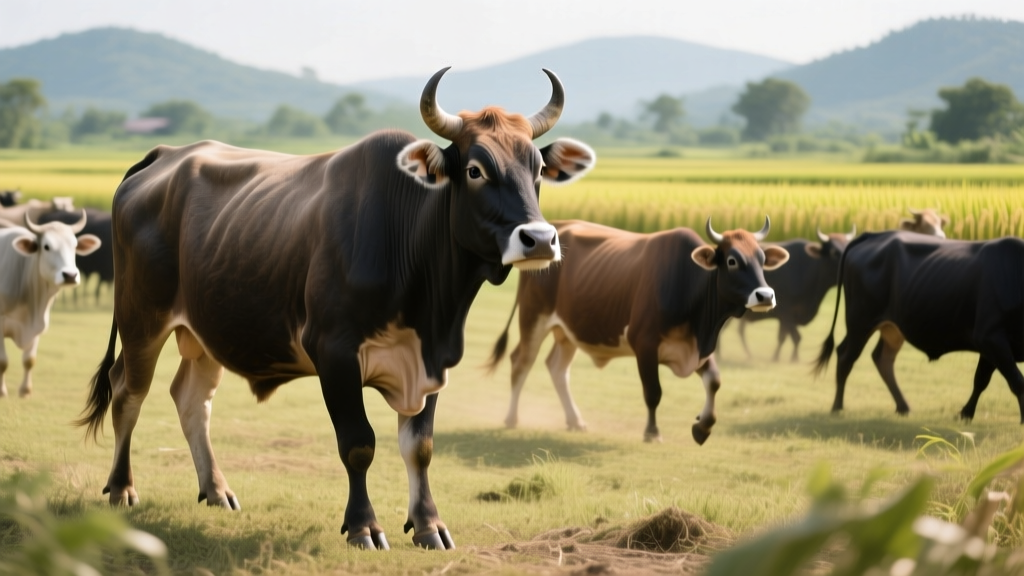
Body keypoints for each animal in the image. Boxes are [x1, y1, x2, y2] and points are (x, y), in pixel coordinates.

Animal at [0, 212, 101, 398]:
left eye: (75, 246)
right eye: (46, 246)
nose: (70, 275)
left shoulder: (37, 325)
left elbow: (29, 360)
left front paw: (25, 391)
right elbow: (3, 361)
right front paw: (2, 392)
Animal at [75, 67, 597, 551]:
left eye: (537, 169)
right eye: (475, 169)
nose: (540, 239)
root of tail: (166, 155)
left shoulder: (433, 361)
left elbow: (420, 447)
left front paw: (428, 525)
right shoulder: (335, 353)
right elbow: (358, 443)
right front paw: (363, 526)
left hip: (204, 330)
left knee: (191, 399)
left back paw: (217, 489)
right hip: (141, 317)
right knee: (128, 392)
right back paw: (121, 488)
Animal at [487, 218, 789, 444]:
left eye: (762, 258)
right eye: (732, 261)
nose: (765, 295)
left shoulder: (697, 347)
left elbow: (714, 381)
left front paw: (702, 427)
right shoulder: (644, 344)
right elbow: (653, 392)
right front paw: (652, 433)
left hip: (567, 330)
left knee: (557, 368)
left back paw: (575, 420)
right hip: (533, 316)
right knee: (521, 361)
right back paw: (512, 418)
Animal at [736, 226, 856, 362]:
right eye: (834, 252)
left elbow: (787, 337)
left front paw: (785, 358)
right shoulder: (785, 312)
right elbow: (793, 337)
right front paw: (787, 358)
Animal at [815, 230, 1024, 421]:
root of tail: (874, 234)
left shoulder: (990, 346)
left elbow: (981, 379)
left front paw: (966, 414)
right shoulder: (989, 337)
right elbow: (1016, 381)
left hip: (892, 326)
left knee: (881, 358)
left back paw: (903, 406)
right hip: (860, 320)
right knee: (846, 355)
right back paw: (837, 406)